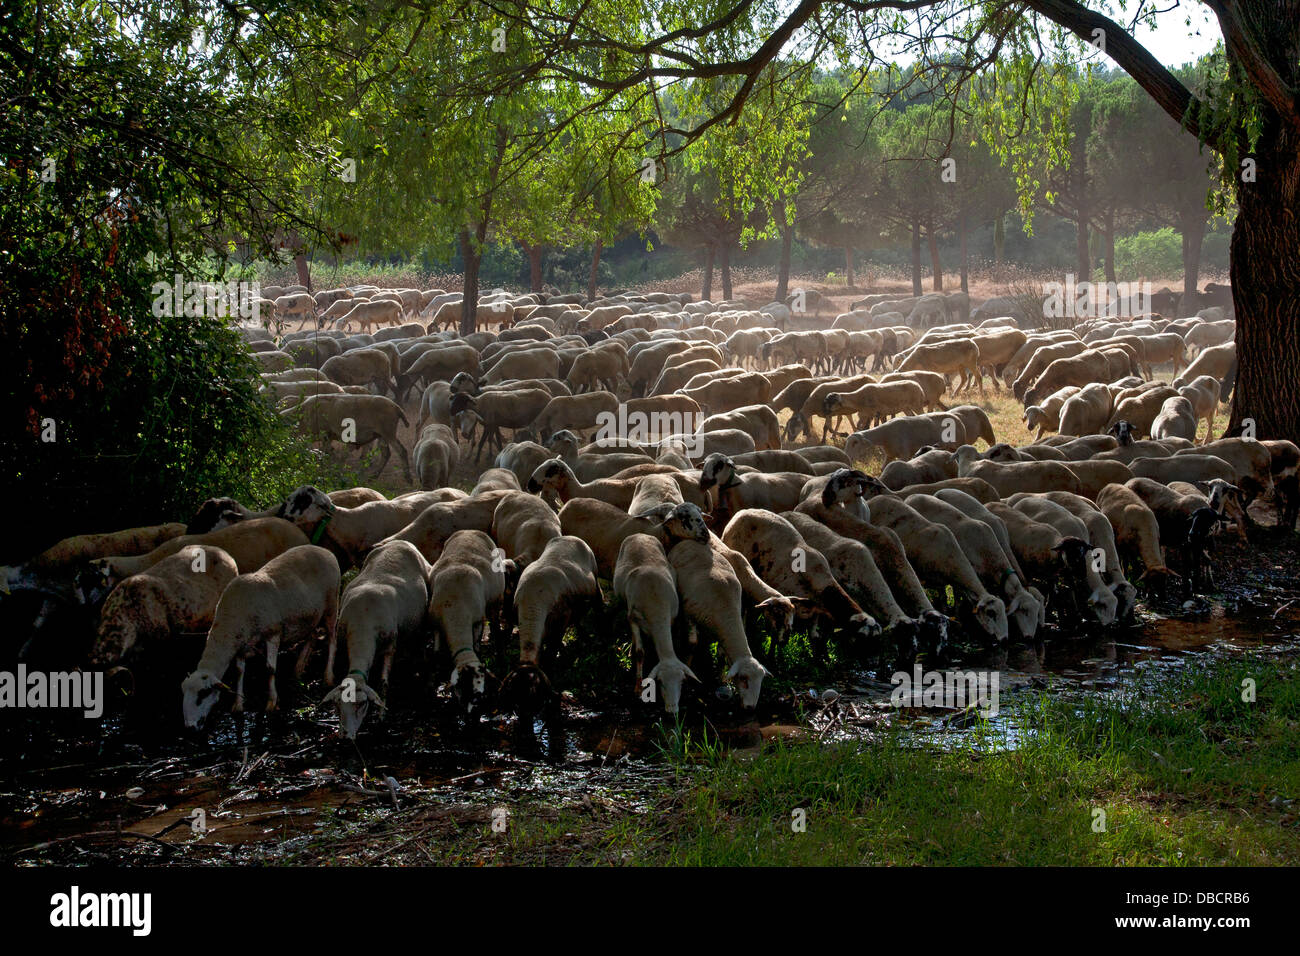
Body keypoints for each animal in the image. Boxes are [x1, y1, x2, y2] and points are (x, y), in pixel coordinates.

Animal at [181, 545, 340, 729]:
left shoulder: (273, 634)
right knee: (312, 635)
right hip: (310, 615)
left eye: (203, 694)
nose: (190, 727)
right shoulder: (242, 645)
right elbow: (239, 672)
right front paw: (238, 705)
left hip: (331, 605)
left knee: (332, 640)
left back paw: (328, 676)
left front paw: (271, 703)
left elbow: (270, 669)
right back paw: (298, 668)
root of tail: (324, 550)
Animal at [320, 540, 433, 737]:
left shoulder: (390, 647)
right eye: (337, 705)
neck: (362, 624)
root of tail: (401, 541)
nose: (346, 737)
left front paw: (381, 717)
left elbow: (383, 684)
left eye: (361, 704)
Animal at [427, 529, 513, 716]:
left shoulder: (477, 621)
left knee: (495, 625)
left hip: (495, 600)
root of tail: (471, 531)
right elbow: (435, 656)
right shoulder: (436, 624)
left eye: (479, 694)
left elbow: (477, 647)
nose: (470, 714)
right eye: (460, 692)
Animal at [502, 536, 602, 717]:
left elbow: (550, 656)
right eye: (515, 699)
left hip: (596, 584)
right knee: (578, 620)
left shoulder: (561, 622)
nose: (525, 719)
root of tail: (569, 537)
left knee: (600, 610)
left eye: (534, 697)